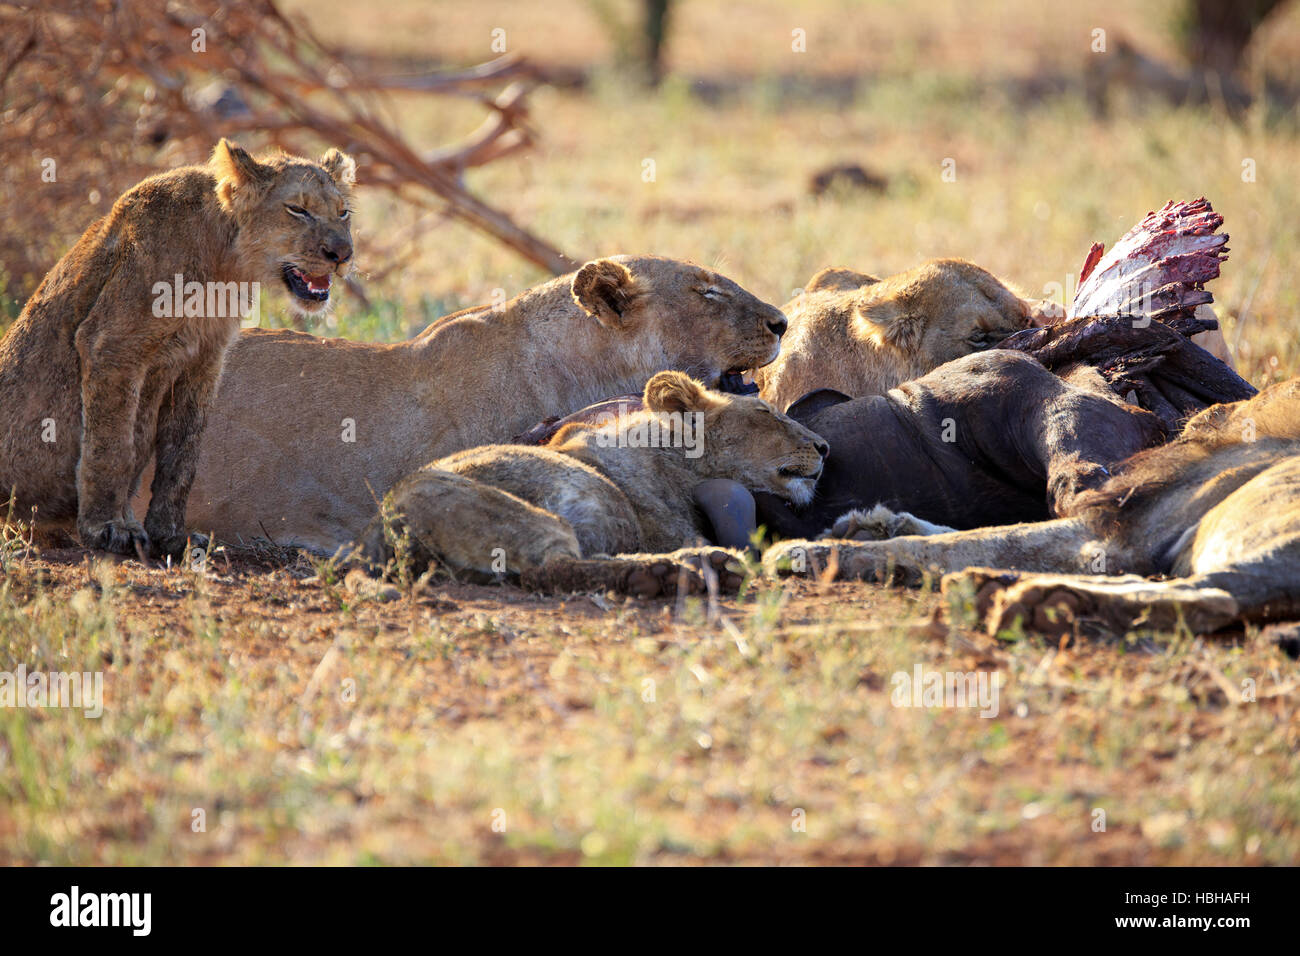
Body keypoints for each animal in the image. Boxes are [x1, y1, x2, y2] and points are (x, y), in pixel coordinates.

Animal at [0, 139, 355, 557]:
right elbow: (113, 446)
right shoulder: (109, 343)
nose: (343, 254)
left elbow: (183, 456)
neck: (226, 267)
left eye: (343, 212)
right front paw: (107, 528)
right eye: (297, 209)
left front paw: (170, 536)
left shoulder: (204, 359)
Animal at [358, 370, 828, 598]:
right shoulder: (665, 525)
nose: (824, 447)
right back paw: (673, 572)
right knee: (550, 569)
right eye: (766, 414)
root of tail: (379, 535)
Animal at [764, 379, 1300, 636]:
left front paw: (807, 551)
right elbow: (964, 537)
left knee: (1215, 595)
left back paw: (1032, 601)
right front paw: (870, 525)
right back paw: (1004, 588)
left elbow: (968, 542)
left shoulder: (1117, 532)